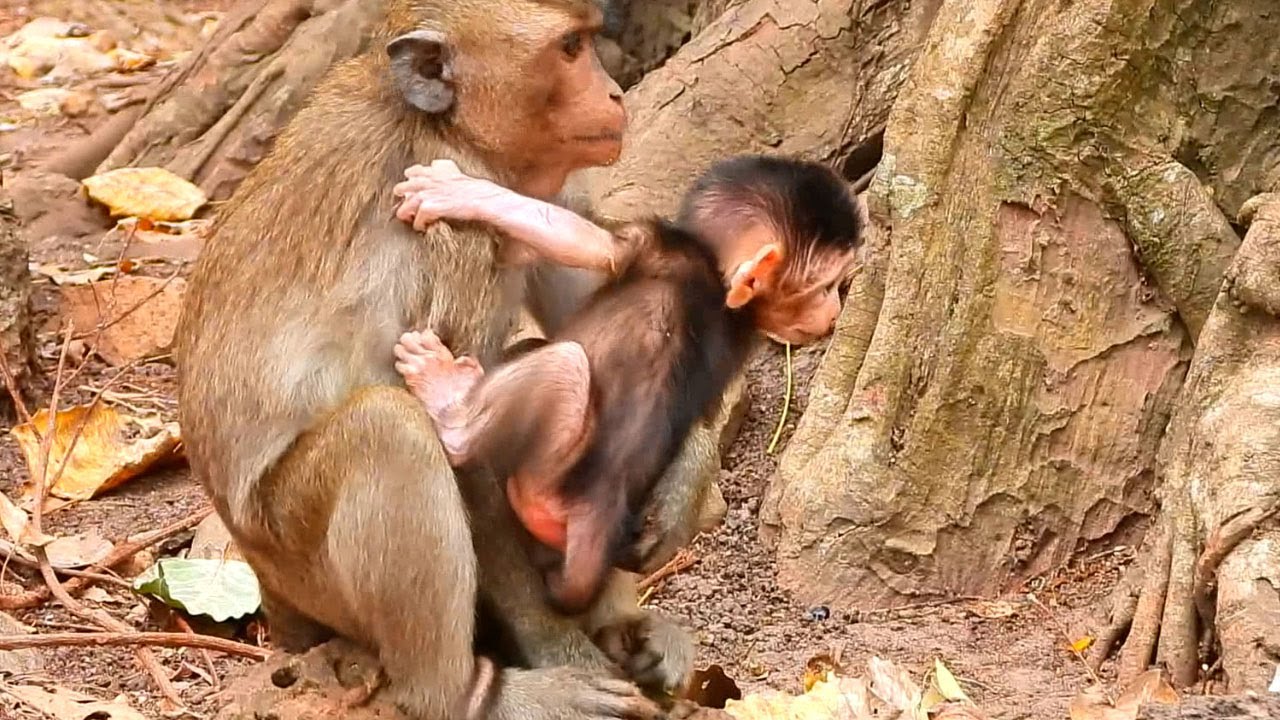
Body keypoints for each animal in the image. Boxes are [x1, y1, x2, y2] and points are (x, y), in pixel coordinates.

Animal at [172, 0, 693, 717]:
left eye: (586, 41)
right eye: (569, 49)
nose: (615, 93)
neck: (445, 127)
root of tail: (269, 593)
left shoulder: (537, 185)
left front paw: (689, 481)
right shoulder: (454, 218)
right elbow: (461, 438)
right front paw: (559, 649)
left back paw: (623, 627)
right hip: (299, 557)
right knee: (389, 430)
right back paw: (466, 692)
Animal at [390, 155, 864, 614]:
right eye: (824, 287)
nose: (834, 312)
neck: (719, 277)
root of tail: (598, 515)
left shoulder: (650, 243)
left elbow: (578, 239)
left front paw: (459, 191)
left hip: (542, 480)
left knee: (563, 364)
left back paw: (450, 406)